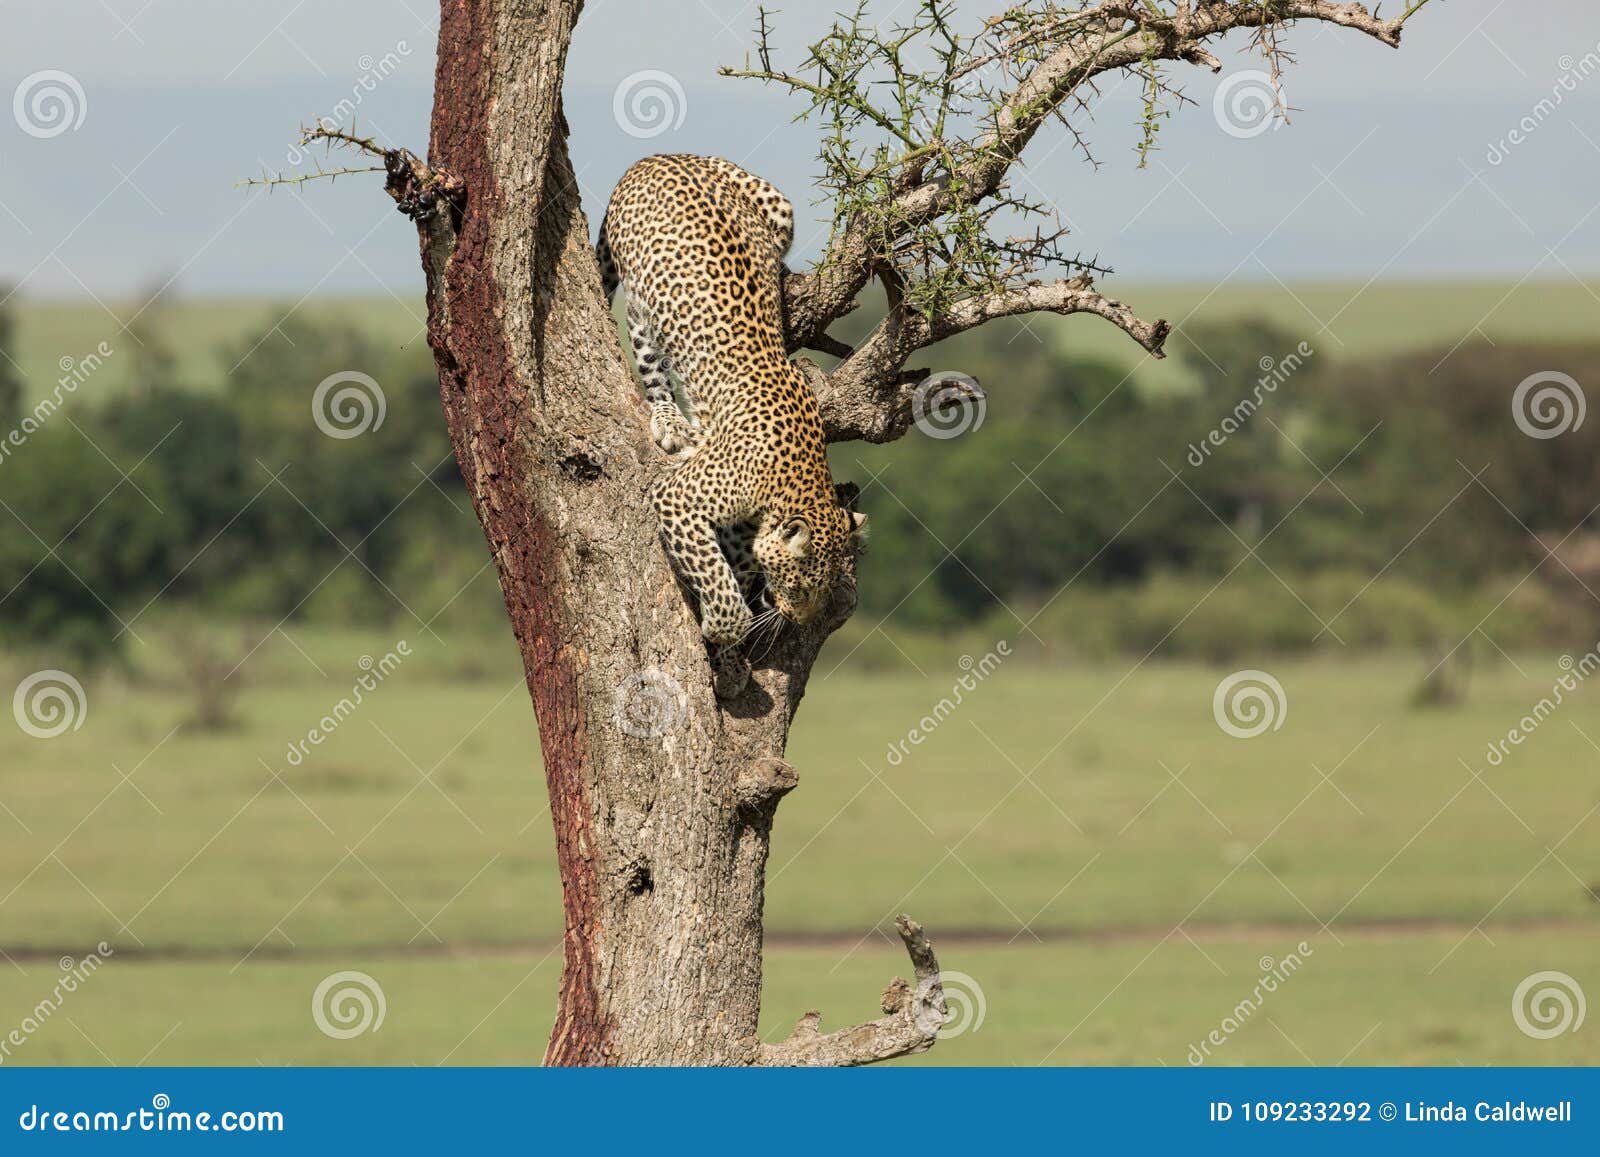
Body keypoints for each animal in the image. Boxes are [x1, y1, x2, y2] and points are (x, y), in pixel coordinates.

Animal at [595, 154, 866, 698]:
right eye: (803, 586)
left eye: (824, 589)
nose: (801, 620)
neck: (795, 479)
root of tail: (654, 158)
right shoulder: (680, 498)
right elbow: (723, 591)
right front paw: (722, 629)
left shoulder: (742, 533)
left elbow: (735, 577)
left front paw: (731, 664)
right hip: (640, 301)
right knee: (650, 362)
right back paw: (671, 422)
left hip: (779, 208)